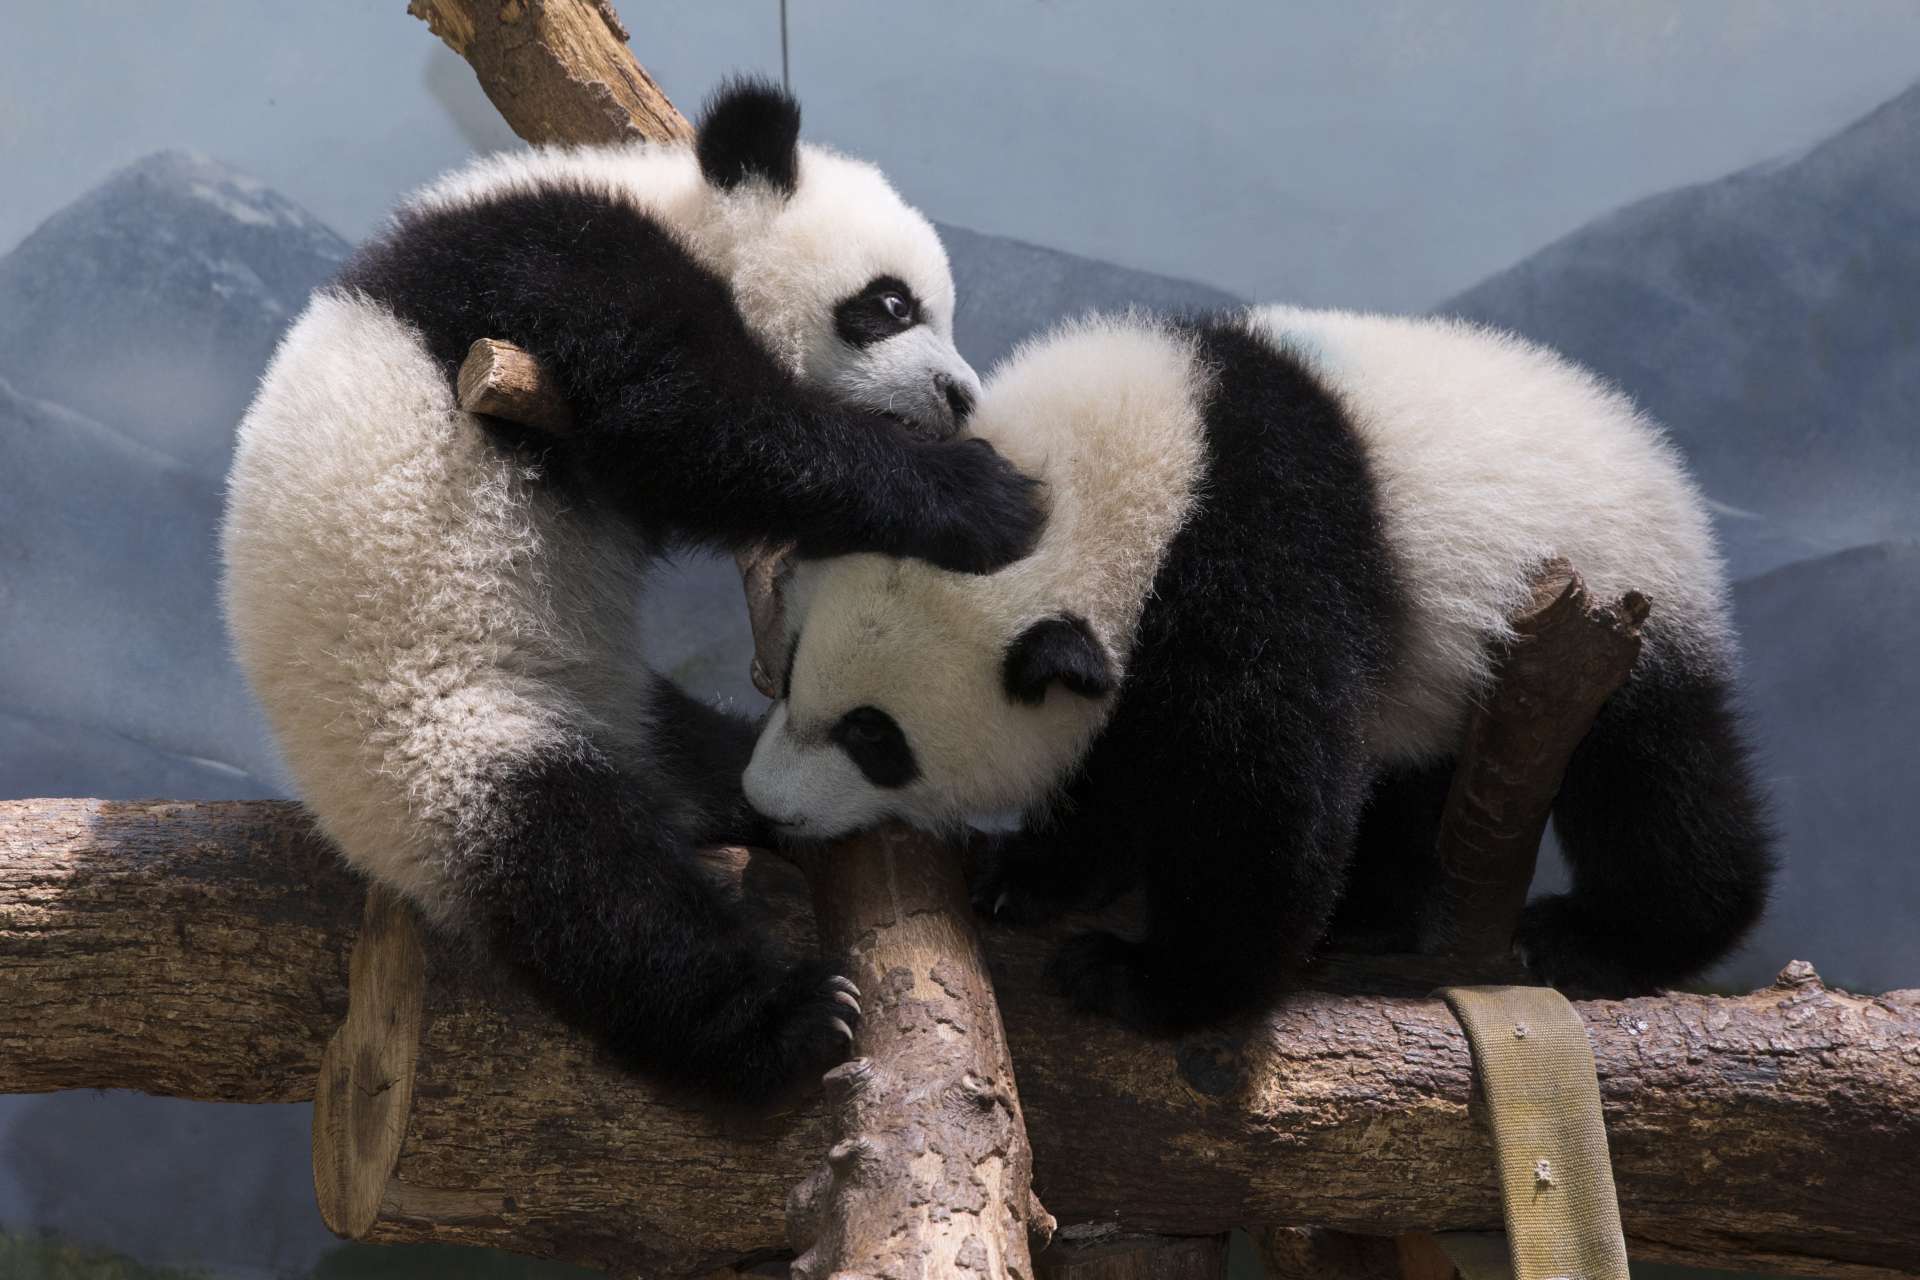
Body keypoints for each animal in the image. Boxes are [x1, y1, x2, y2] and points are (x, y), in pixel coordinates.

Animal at [221, 79, 1044, 1102]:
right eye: (890, 304)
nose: (960, 395)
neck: (680, 205)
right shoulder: (549, 259)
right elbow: (689, 414)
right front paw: (978, 497)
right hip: (443, 739)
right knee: (589, 878)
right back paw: (784, 1017)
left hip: (621, 707)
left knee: (707, 763)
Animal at [743, 307, 1774, 1030]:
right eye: (787, 671)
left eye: (875, 737)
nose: (768, 808)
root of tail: (1652, 449)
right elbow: (1123, 759)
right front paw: (1030, 873)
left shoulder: (1259, 560)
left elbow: (1259, 789)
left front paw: (1147, 978)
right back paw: (1377, 910)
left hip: (1617, 600)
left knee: (1655, 776)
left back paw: (1608, 935)